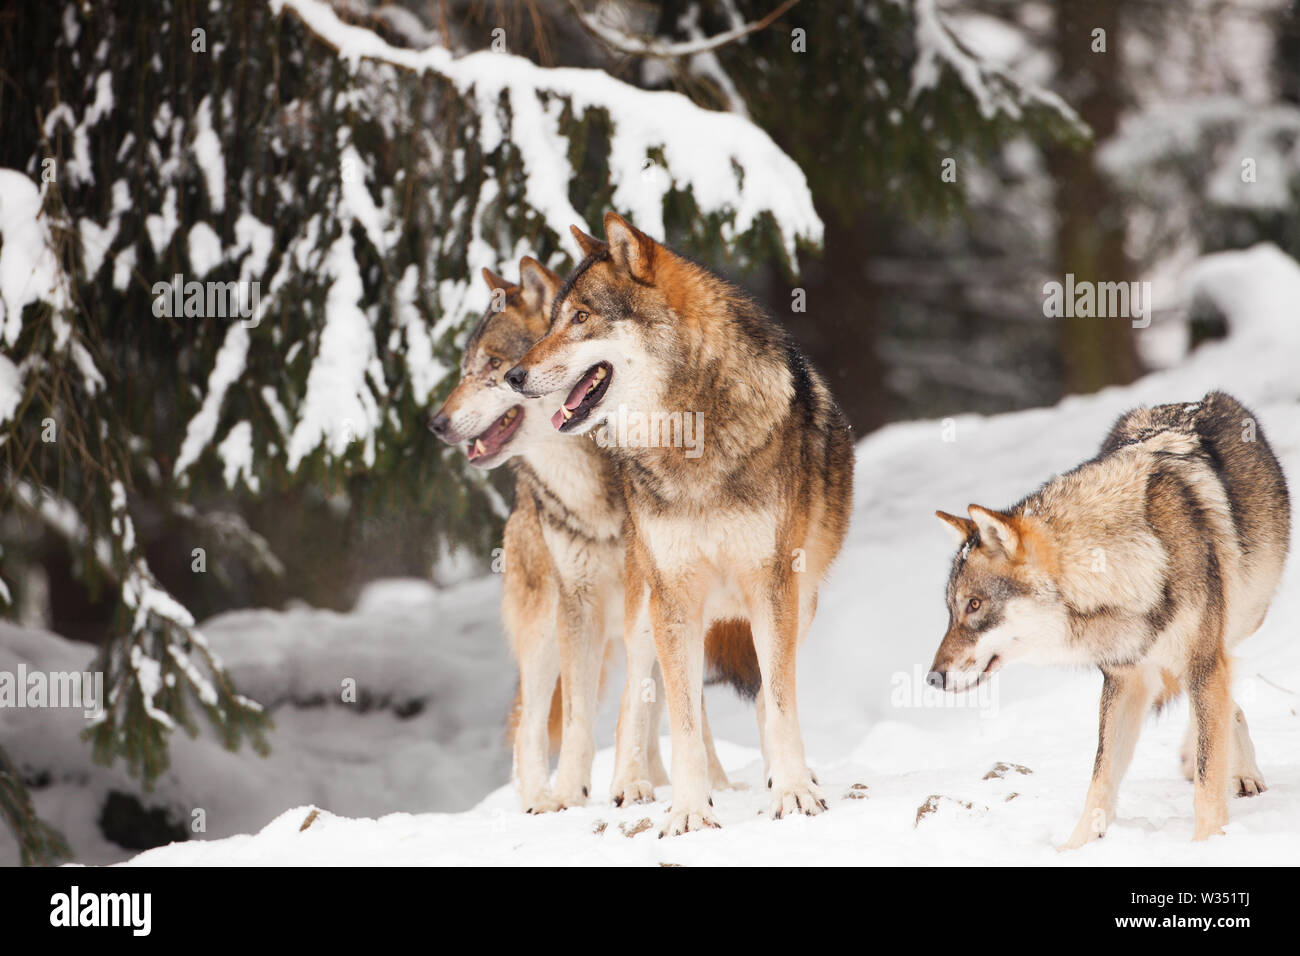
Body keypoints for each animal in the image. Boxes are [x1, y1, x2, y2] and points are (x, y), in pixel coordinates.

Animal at [429, 258, 732, 811]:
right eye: (466, 370)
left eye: (493, 366)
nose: (435, 425)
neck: (596, 493)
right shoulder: (579, 601)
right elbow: (575, 717)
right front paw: (572, 790)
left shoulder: (655, 588)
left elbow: (651, 704)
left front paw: (643, 784)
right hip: (543, 632)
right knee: (528, 725)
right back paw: (539, 800)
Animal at [505, 213, 855, 836]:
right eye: (553, 320)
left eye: (581, 317)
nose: (515, 376)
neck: (690, 437)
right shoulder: (673, 594)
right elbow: (684, 718)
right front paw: (690, 810)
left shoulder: (773, 588)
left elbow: (778, 702)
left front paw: (793, 791)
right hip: (641, 607)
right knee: (637, 699)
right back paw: (629, 785)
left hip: (800, 599)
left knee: (762, 695)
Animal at [928, 391, 1290, 846]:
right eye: (951, 609)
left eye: (974, 605)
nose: (932, 678)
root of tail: (1195, 399)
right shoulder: (1124, 678)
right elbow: (1101, 779)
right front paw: (1073, 848)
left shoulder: (1201, 660)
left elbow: (1208, 781)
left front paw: (1206, 844)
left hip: (1238, 623)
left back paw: (1238, 771)